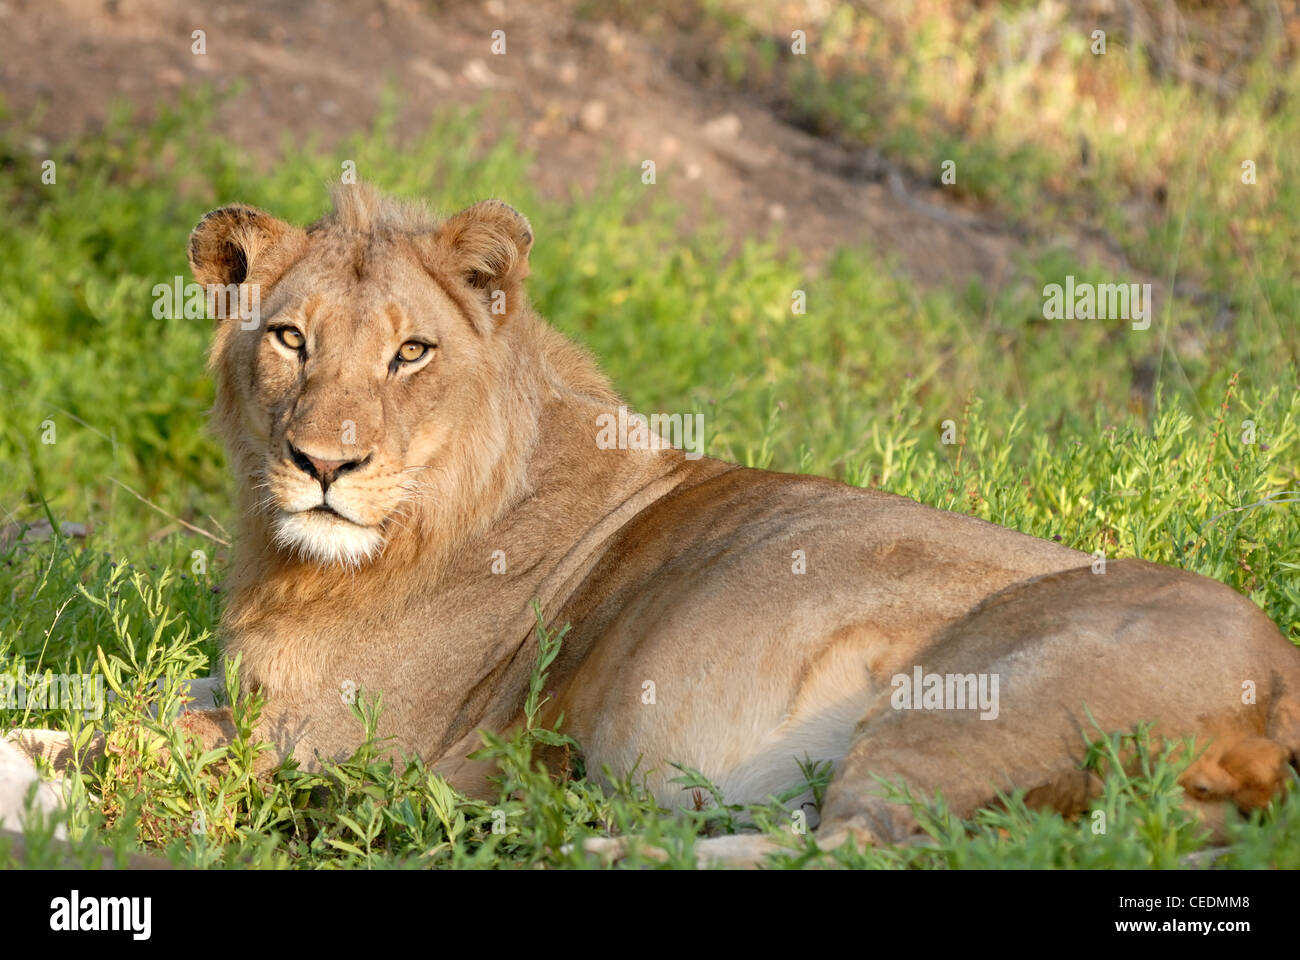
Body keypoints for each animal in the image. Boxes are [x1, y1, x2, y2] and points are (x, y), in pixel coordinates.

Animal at [10, 184, 1300, 862]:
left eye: (411, 352)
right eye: (288, 338)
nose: (323, 464)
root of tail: (1275, 700)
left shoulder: (350, 746)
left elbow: (141, 747)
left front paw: (51, 799)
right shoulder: (258, 693)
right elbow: (111, 705)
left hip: (967, 704)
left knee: (860, 848)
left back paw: (572, 840)